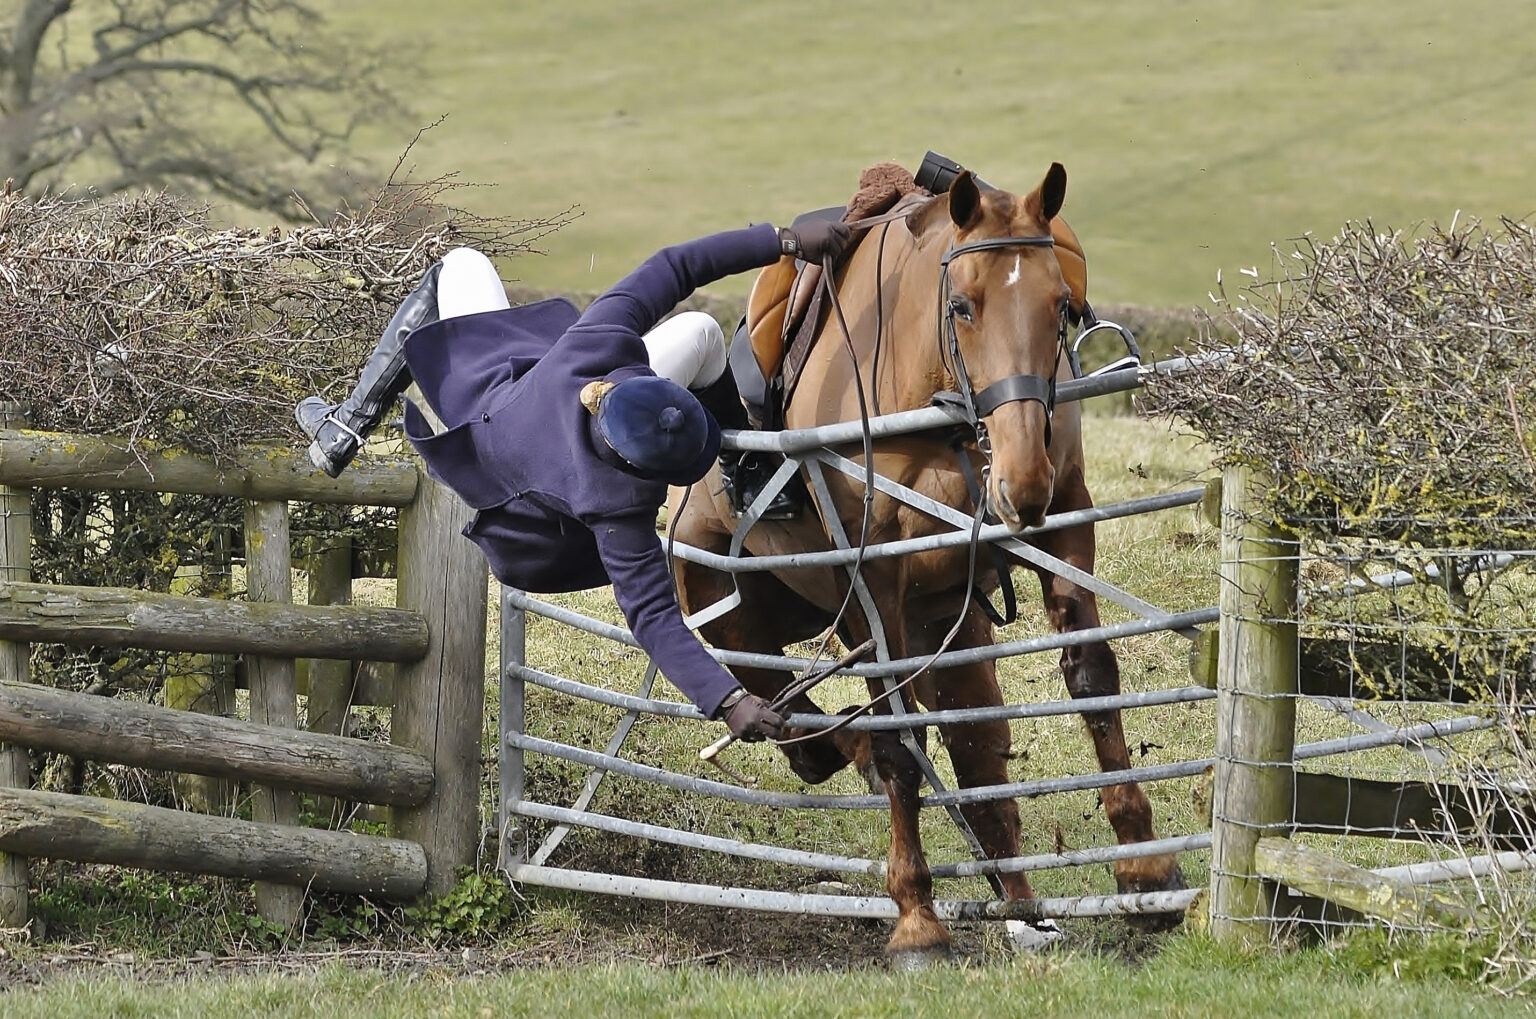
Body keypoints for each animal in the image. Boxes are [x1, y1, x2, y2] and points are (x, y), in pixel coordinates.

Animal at [668, 165, 1186, 965]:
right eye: (962, 304)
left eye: (1061, 306)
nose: (1021, 483)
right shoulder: (868, 581)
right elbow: (897, 741)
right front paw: (916, 918)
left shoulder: (1065, 522)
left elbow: (1092, 678)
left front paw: (1145, 870)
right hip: (730, 613)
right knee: (794, 717)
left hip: (949, 617)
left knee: (975, 752)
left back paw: (1024, 908)